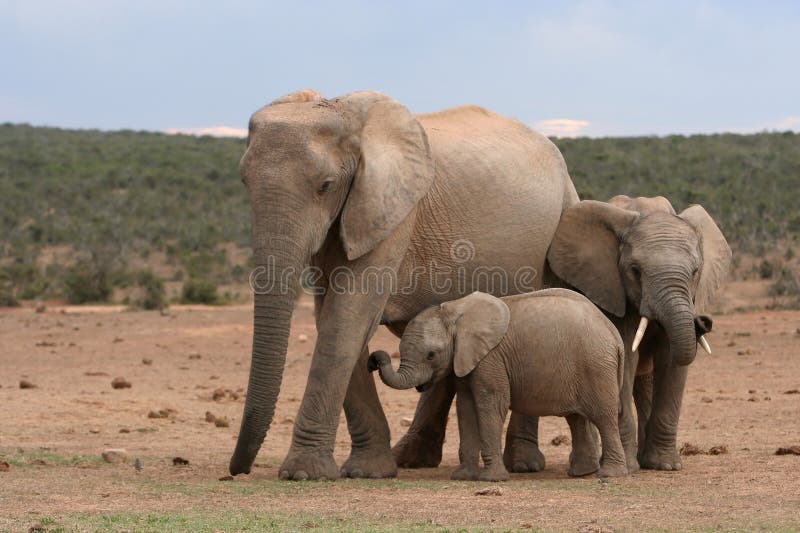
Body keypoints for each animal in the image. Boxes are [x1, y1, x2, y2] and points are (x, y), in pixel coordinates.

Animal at [230, 88, 579, 480]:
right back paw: (412, 458)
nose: (238, 470)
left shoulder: (392, 211)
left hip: (564, 214)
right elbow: (335, 317)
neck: (347, 116)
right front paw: (369, 471)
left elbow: (346, 317)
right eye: (243, 182)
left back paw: (522, 465)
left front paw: (304, 474)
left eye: (326, 186)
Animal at [368, 290, 630, 481]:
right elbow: (466, 408)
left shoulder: (490, 359)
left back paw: (610, 475)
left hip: (597, 366)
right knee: (576, 418)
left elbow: (491, 406)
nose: (372, 360)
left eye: (432, 355)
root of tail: (614, 334)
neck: (455, 312)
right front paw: (463, 477)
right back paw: (581, 473)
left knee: (603, 417)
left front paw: (492, 479)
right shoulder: (466, 361)